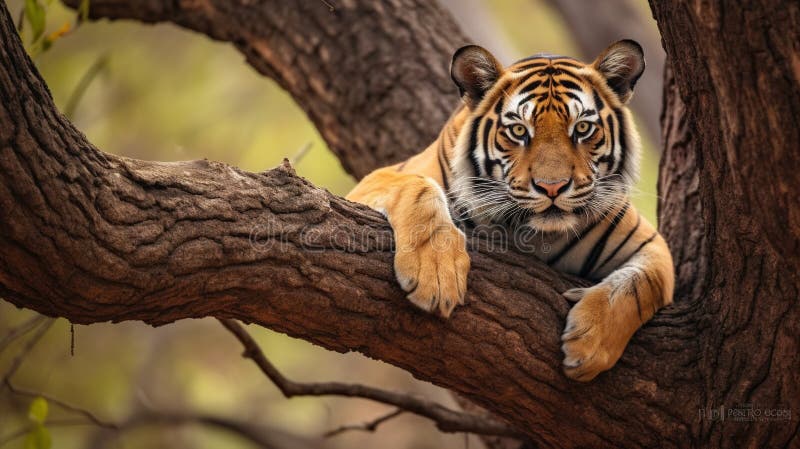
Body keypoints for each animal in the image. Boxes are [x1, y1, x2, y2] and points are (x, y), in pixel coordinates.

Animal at [346, 40, 674, 381]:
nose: (553, 187)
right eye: (518, 131)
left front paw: (591, 345)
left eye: (583, 128)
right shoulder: (380, 179)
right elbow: (418, 187)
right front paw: (435, 274)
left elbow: (640, 286)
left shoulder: (654, 247)